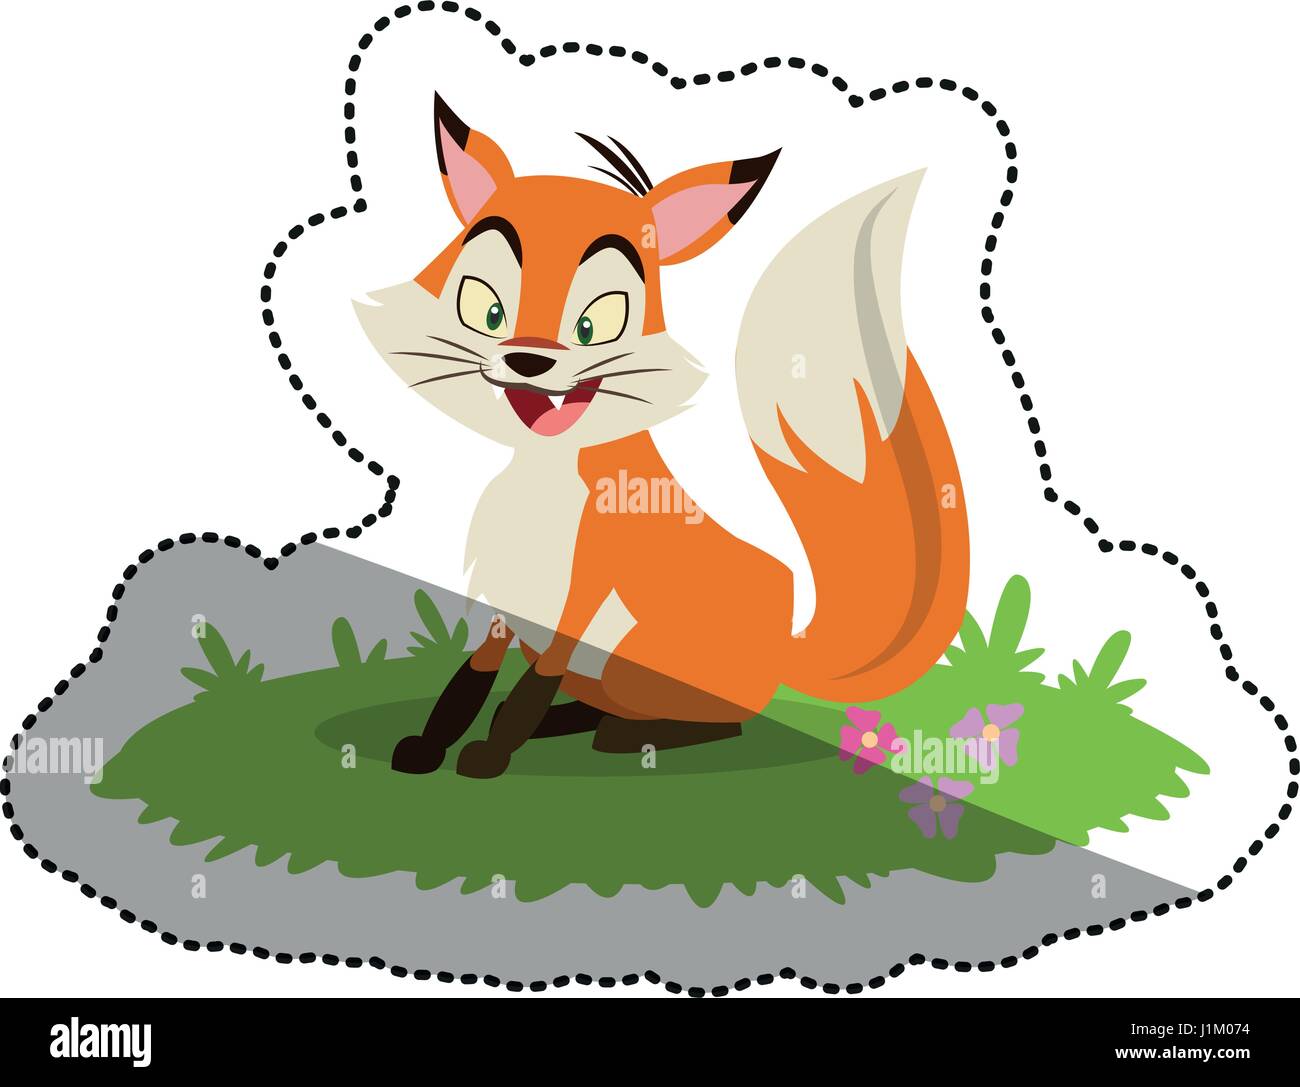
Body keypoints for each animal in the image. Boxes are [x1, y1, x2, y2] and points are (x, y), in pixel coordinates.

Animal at [355, 95, 969, 779]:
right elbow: (472, 678)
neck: (545, 479)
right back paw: (576, 724)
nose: (528, 360)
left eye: (596, 323)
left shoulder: (581, 590)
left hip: (634, 664)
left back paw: (625, 737)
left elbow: (527, 689)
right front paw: (429, 747)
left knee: (720, 724)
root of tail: (783, 644)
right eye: (486, 309)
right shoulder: (506, 596)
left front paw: (490, 755)